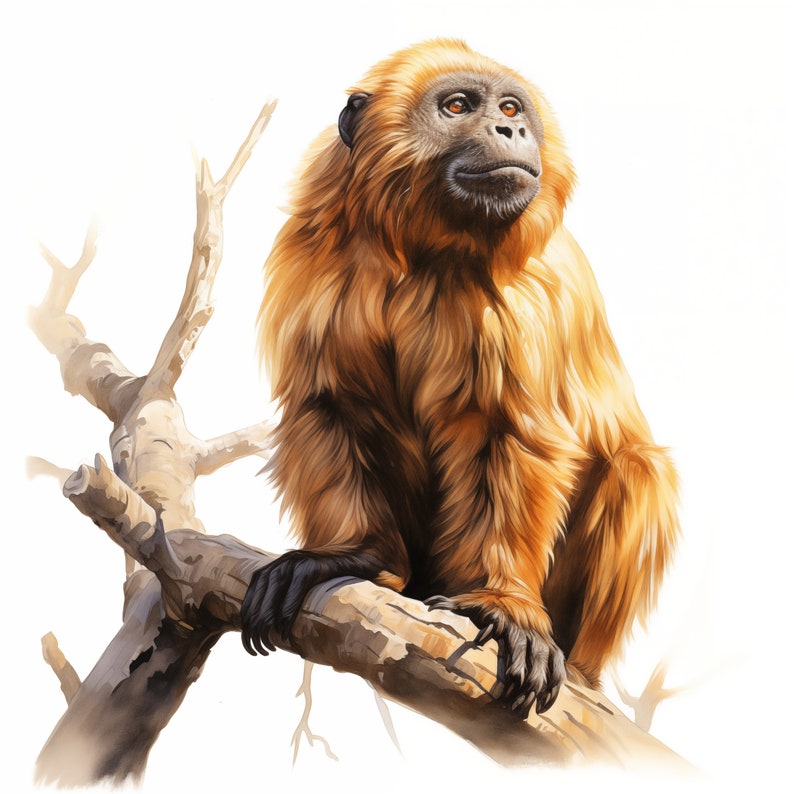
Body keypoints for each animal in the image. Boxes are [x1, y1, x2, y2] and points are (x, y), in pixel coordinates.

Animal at [240, 39, 679, 716]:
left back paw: (579, 668)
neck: (425, 252)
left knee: (639, 467)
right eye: (457, 106)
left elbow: (508, 433)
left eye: (509, 107)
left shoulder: (525, 294)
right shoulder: (315, 260)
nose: (511, 130)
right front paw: (351, 555)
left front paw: (505, 605)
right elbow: (333, 406)